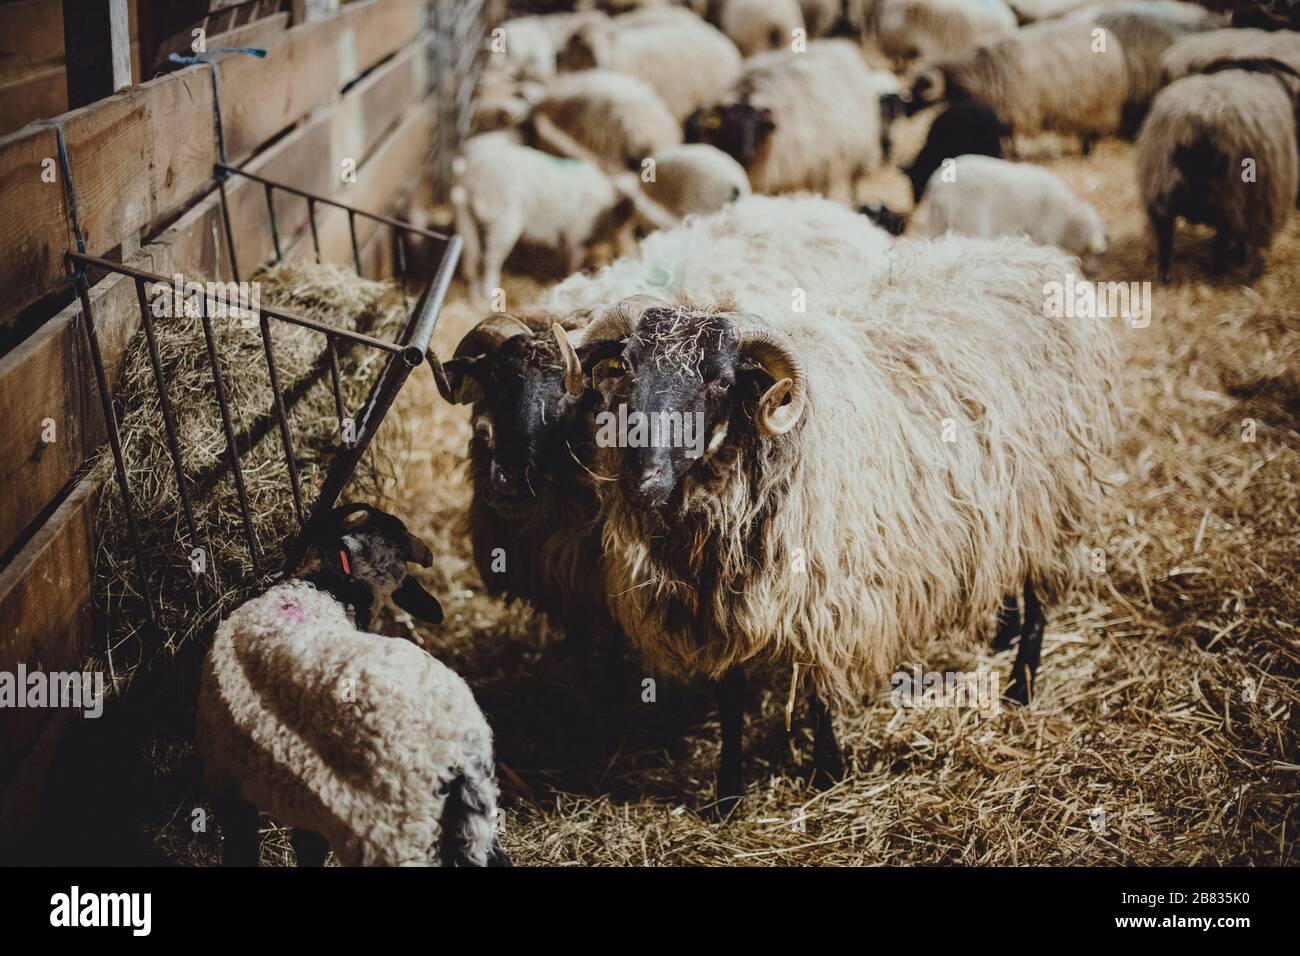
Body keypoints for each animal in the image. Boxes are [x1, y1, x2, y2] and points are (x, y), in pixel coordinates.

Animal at [452, 134, 635, 304]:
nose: (630, 250)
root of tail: (472, 179)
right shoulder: (575, 237)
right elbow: (574, 263)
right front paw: (570, 279)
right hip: (502, 222)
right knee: (488, 260)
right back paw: (489, 294)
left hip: (464, 217)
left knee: (471, 259)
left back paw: (475, 301)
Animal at [581, 235, 1119, 810]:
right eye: (627, 368)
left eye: (720, 383)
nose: (644, 481)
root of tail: (1035, 255)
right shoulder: (727, 600)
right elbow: (731, 696)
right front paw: (728, 793)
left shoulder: (829, 592)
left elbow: (819, 687)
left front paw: (827, 770)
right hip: (1007, 508)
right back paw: (1001, 633)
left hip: (1054, 497)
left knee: (1039, 590)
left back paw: (1021, 686)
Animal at [912, 17, 1129, 152]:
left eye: (919, 88)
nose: (907, 110)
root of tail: (1111, 40)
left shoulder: (1012, 110)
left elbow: (1010, 137)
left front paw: (1013, 154)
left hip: (1099, 107)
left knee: (1092, 133)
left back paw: (1087, 150)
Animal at [1135, 65, 1299, 279]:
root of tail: (1203, 118)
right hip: (1231, 198)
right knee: (1221, 239)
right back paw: (1220, 271)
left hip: (1161, 187)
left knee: (1165, 236)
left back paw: (1166, 276)